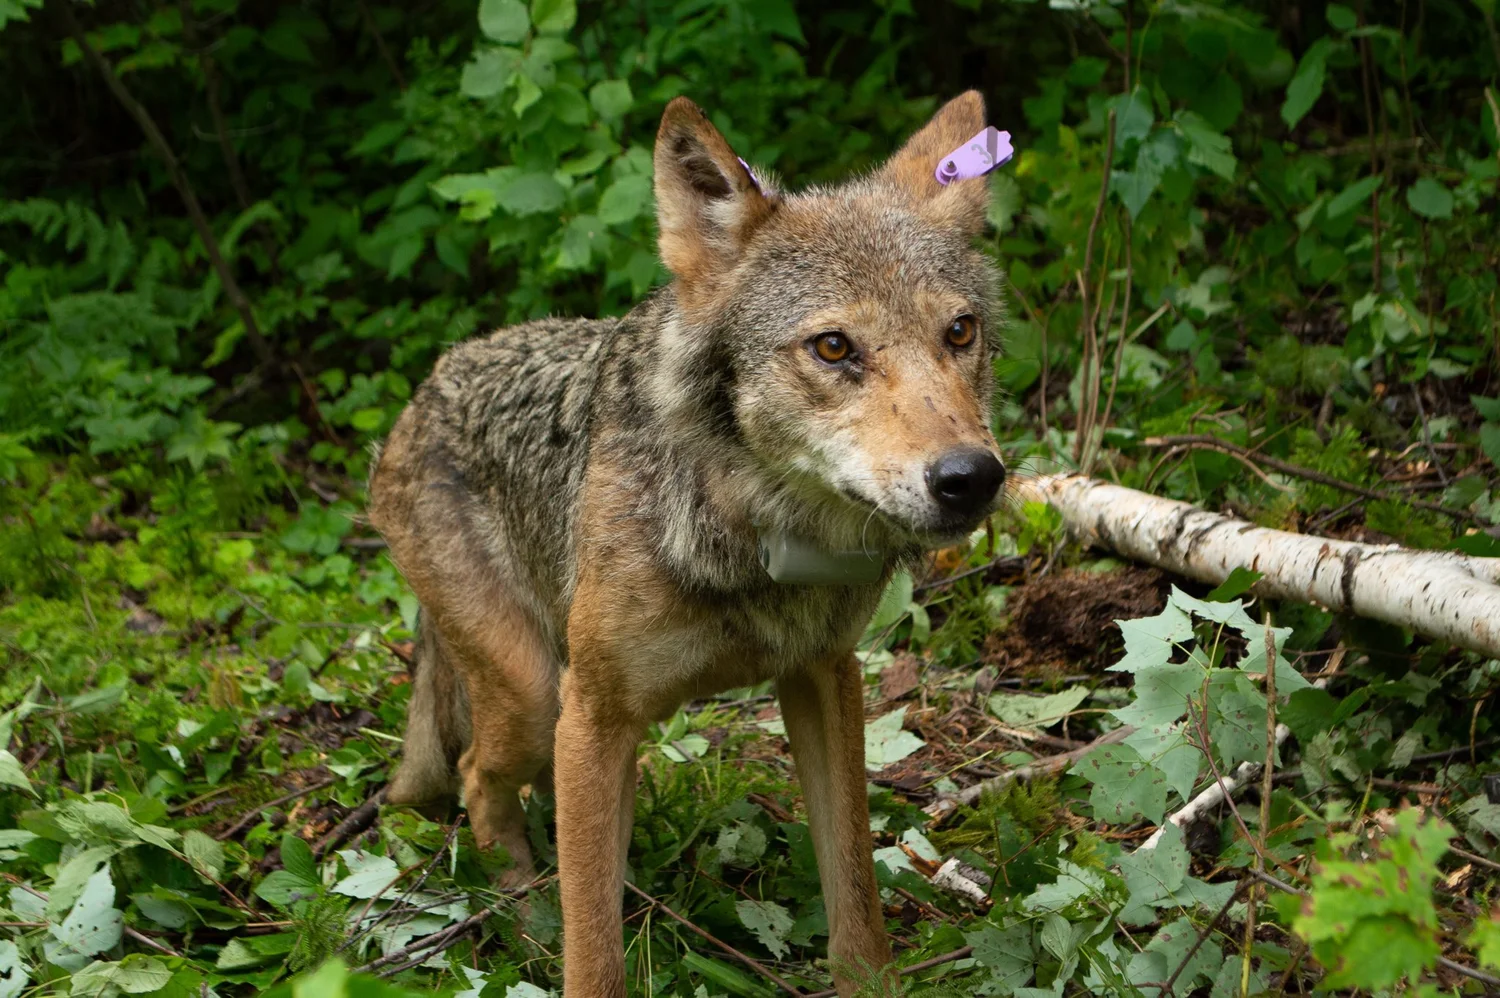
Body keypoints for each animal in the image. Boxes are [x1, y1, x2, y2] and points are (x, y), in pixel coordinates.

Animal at [367, 90, 1007, 996]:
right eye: (834, 347)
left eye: (959, 332)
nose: (970, 477)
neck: (753, 537)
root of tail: (424, 389)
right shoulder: (592, 716)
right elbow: (594, 955)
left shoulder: (825, 676)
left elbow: (855, 888)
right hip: (534, 697)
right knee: (476, 788)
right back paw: (525, 923)